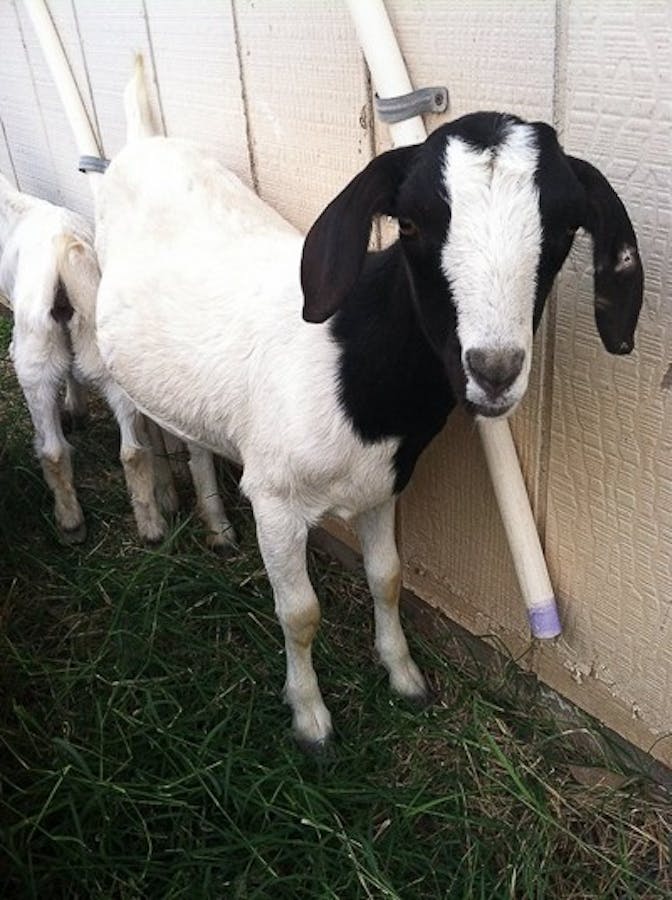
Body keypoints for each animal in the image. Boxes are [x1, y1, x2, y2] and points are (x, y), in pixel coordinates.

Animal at [0, 173, 176, 543]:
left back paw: (70, 524)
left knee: (53, 451)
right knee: (133, 451)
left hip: (34, 359)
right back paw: (152, 529)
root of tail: (65, 258)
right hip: (109, 360)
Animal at [93, 62, 643, 746]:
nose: (493, 371)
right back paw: (148, 520)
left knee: (194, 442)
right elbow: (299, 612)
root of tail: (144, 141)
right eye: (409, 224)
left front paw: (404, 677)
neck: (351, 362)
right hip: (111, 355)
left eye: (568, 228)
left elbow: (387, 577)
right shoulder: (275, 499)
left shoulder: (379, 487)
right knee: (131, 442)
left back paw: (217, 529)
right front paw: (311, 720)